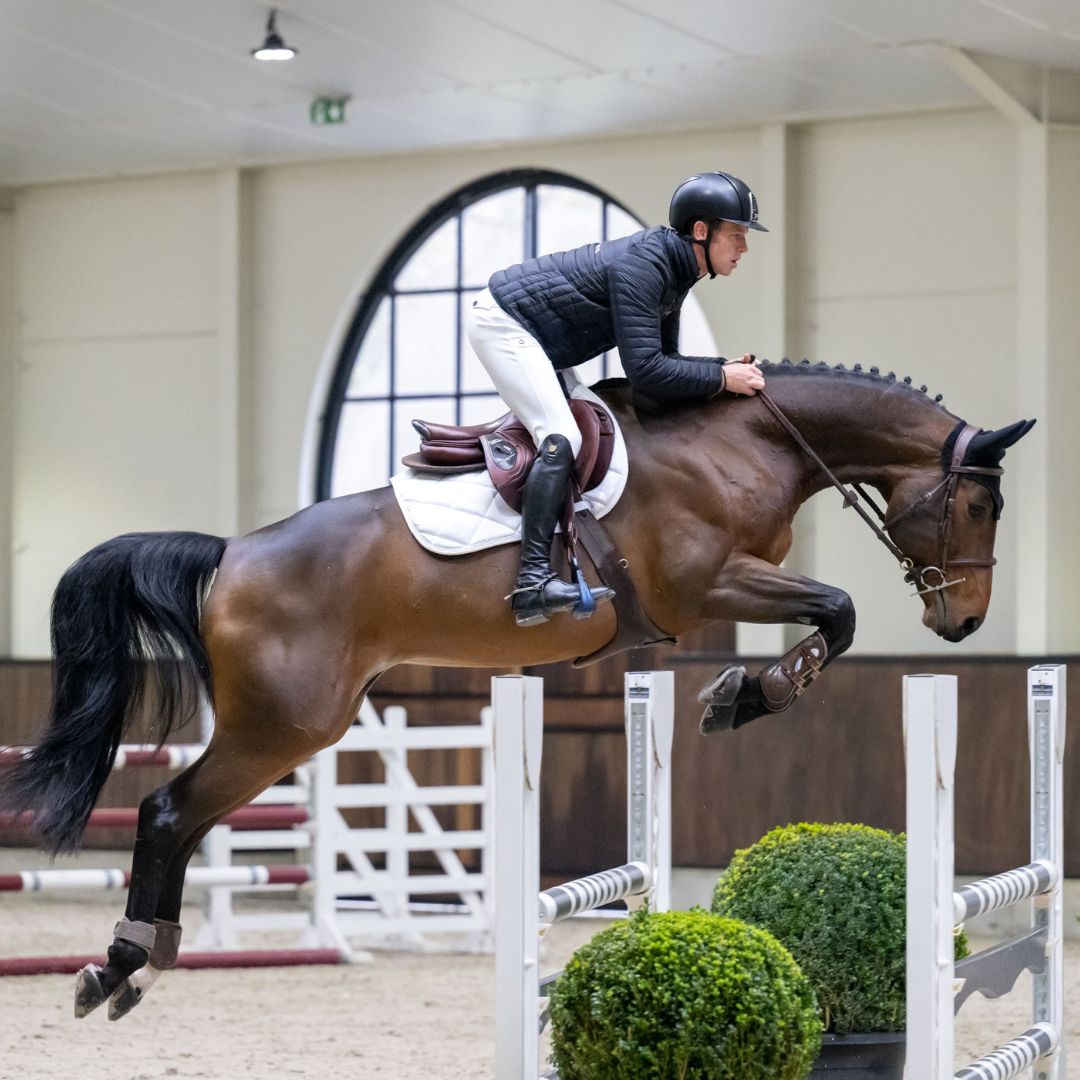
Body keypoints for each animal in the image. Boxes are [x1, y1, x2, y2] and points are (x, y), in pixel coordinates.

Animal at [0, 358, 1033, 1020]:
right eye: (980, 504)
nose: (965, 624)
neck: (747, 438)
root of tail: (229, 555)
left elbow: (832, 616)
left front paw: (735, 693)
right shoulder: (706, 585)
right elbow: (840, 611)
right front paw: (744, 695)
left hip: (292, 727)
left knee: (183, 819)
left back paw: (142, 962)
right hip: (283, 727)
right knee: (170, 811)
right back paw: (121, 964)